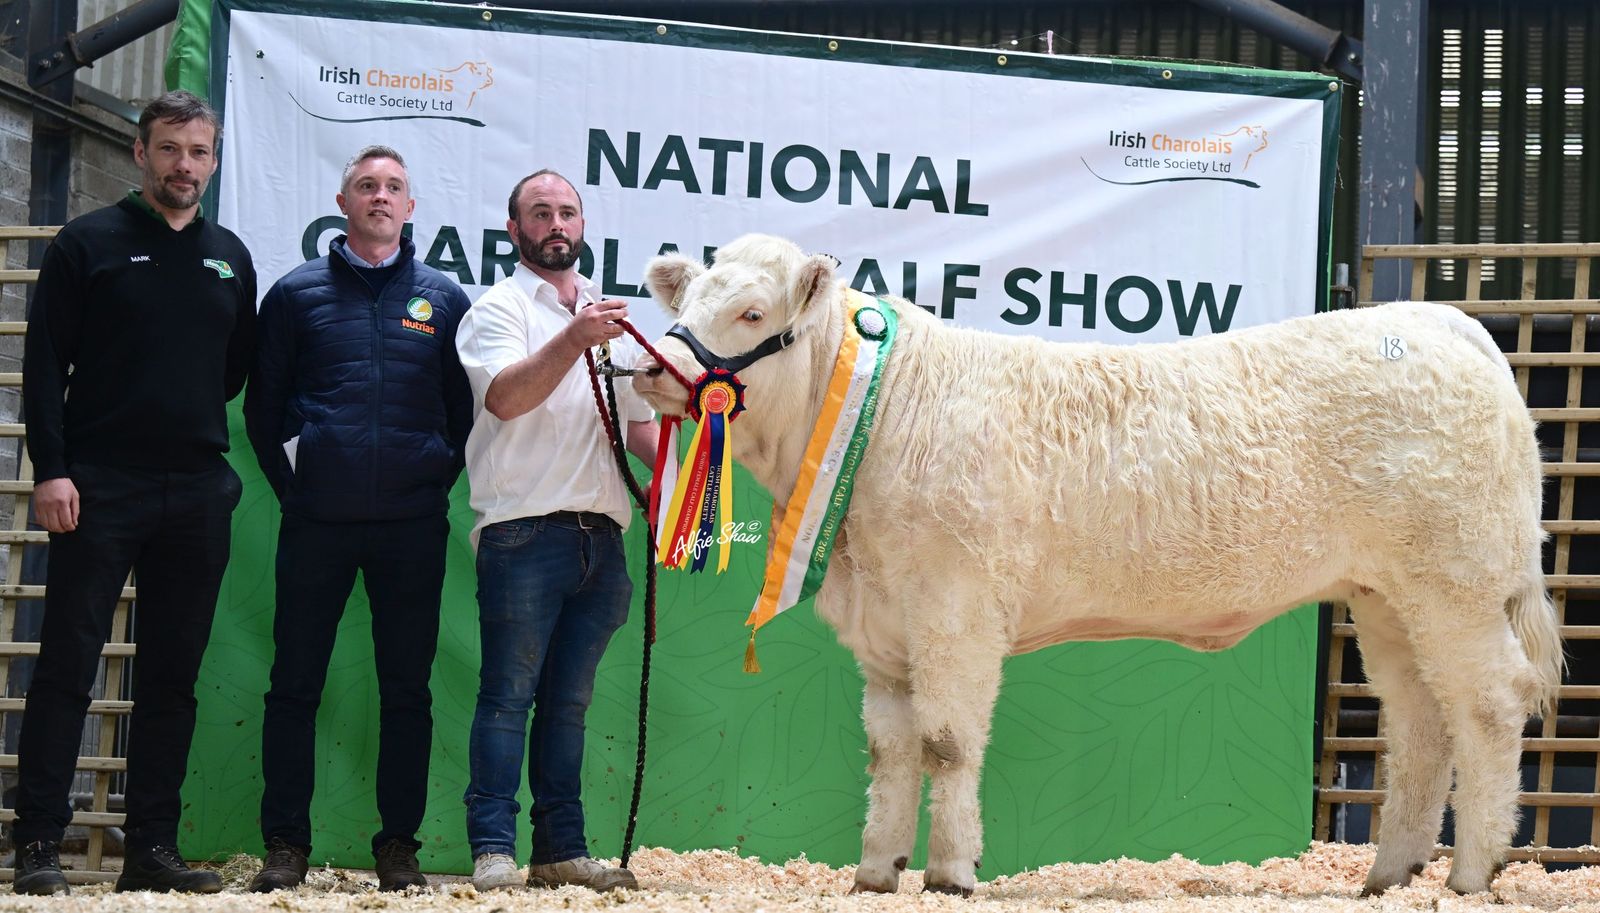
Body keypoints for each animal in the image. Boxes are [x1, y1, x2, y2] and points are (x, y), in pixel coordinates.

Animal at [631, 233, 1561, 898]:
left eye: (752, 313)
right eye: (689, 299)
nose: (648, 364)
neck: (881, 407)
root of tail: (1441, 320)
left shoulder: (957, 606)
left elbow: (946, 742)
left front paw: (950, 873)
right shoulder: (886, 626)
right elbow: (888, 750)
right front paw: (874, 871)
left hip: (1457, 584)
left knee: (1487, 705)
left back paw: (1472, 872)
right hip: (1386, 596)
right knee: (1420, 720)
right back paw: (1389, 874)